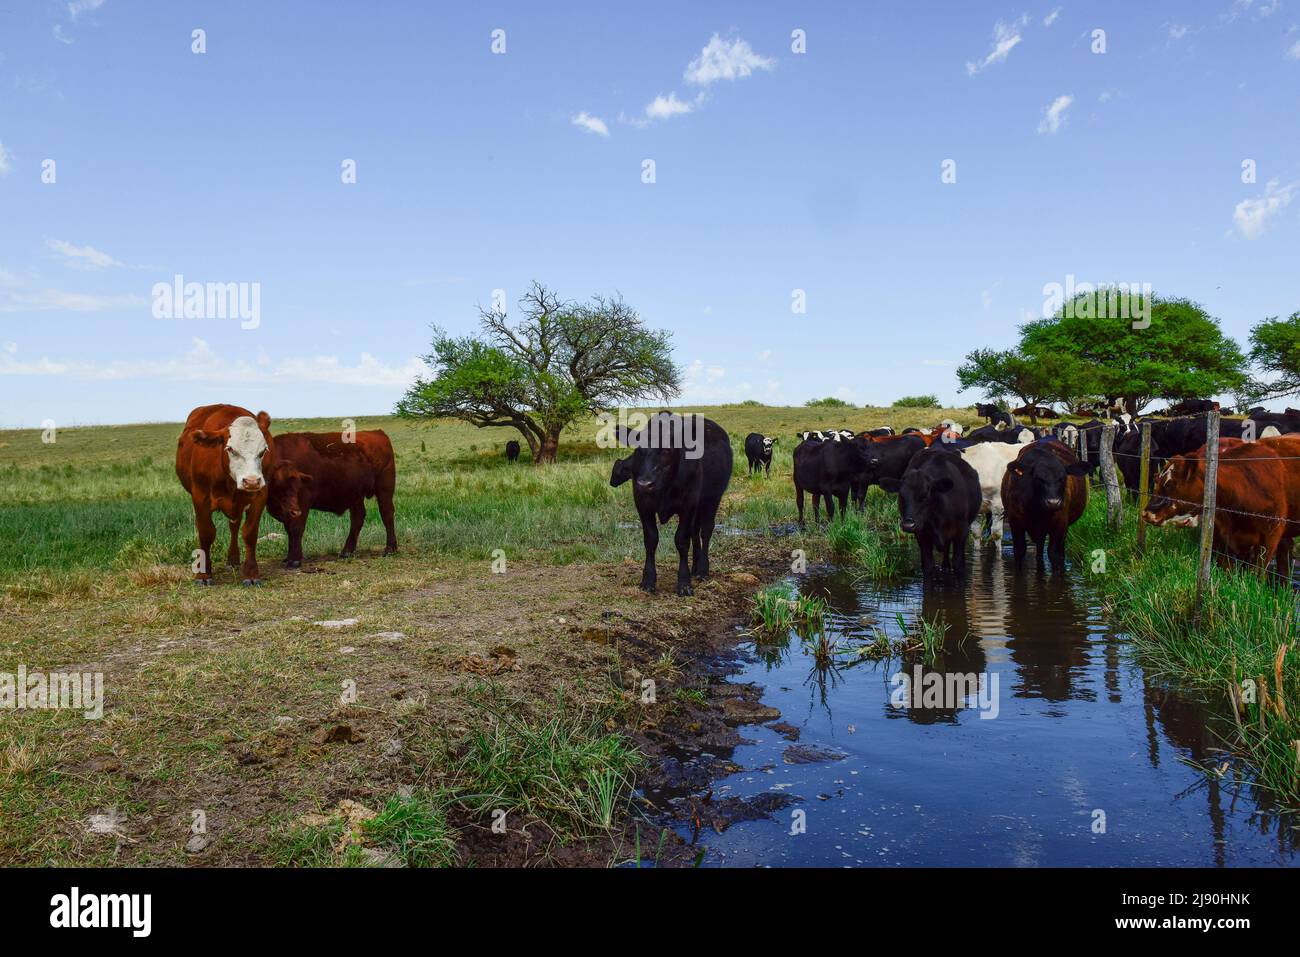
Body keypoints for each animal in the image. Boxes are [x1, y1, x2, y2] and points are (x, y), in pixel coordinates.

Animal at [174, 404, 275, 586]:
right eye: (230, 449)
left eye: (263, 451)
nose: (251, 481)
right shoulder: (200, 497)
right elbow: (206, 533)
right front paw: (203, 574)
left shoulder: (260, 496)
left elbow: (249, 533)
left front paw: (251, 573)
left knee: (234, 526)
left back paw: (233, 560)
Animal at [265, 430, 399, 568]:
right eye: (279, 485)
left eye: (297, 485)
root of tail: (378, 432)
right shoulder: (289, 511)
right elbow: (289, 531)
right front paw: (288, 558)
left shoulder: (302, 503)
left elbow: (296, 528)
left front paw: (294, 560)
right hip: (355, 496)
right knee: (358, 518)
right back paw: (347, 551)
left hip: (384, 489)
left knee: (386, 514)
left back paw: (390, 549)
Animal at [610, 412, 731, 596]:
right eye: (638, 450)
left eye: (666, 450)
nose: (644, 484)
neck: (664, 487)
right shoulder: (643, 505)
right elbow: (651, 539)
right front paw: (648, 580)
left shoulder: (688, 505)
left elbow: (681, 540)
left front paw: (684, 583)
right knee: (695, 531)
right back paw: (695, 567)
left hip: (712, 499)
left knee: (706, 530)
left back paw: (703, 570)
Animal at [879, 447, 981, 580]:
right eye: (901, 496)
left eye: (925, 496)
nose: (908, 524)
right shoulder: (921, 533)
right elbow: (928, 565)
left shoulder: (962, 531)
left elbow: (958, 564)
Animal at [1001, 439, 1091, 571]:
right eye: (1039, 478)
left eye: (1063, 478)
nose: (1053, 502)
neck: (1036, 509)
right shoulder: (1015, 521)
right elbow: (1019, 551)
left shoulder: (1060, 524)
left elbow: (1055, 555)